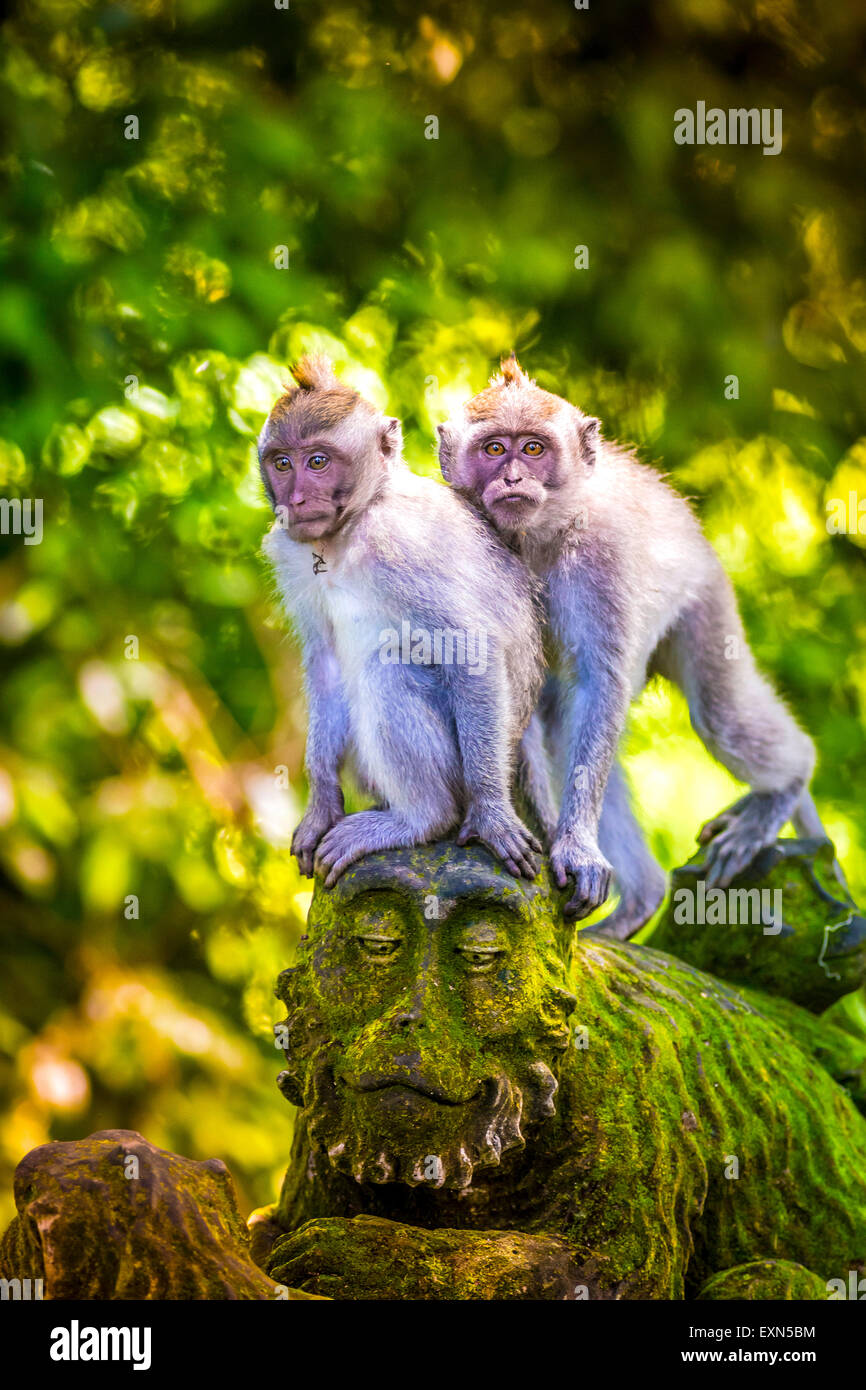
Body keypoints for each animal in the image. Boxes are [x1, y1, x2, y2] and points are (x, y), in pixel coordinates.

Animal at [258, 354, 546, 887]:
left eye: (318, 461)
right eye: (282, 462)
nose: (298, 499)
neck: (348, 531)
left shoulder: (402, 545)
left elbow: (471, 650)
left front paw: (493, 814)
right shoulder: (292, 552)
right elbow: (325, 662)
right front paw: (321, 804)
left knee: (386, 669)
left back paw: (421, 818)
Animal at [438, 354, 830, 938]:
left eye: (532, 449)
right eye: (493, 449)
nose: (512, 478)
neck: (536, 539)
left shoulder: (604, 555)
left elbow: (599, 686)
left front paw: (574, 846)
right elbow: (507, 685)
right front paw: (526, 825)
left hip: (706, 600)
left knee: (718, 715)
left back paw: (783, 787)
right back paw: (641, 900)